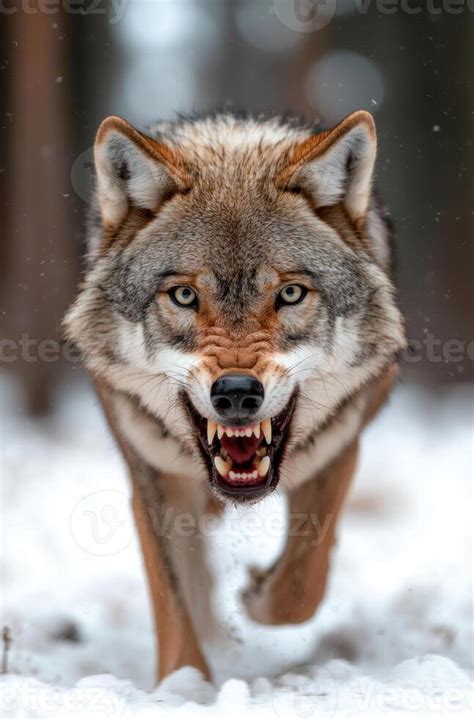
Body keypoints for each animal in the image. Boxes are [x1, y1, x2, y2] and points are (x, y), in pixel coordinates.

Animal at [64, 110, 406, 681]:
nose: (238, 393)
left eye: (290, 293)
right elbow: (173, 604)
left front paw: (256, 594)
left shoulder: (340, 447)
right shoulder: (152, 478)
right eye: (184, 295)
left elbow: (300, 586)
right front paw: (185, 684)